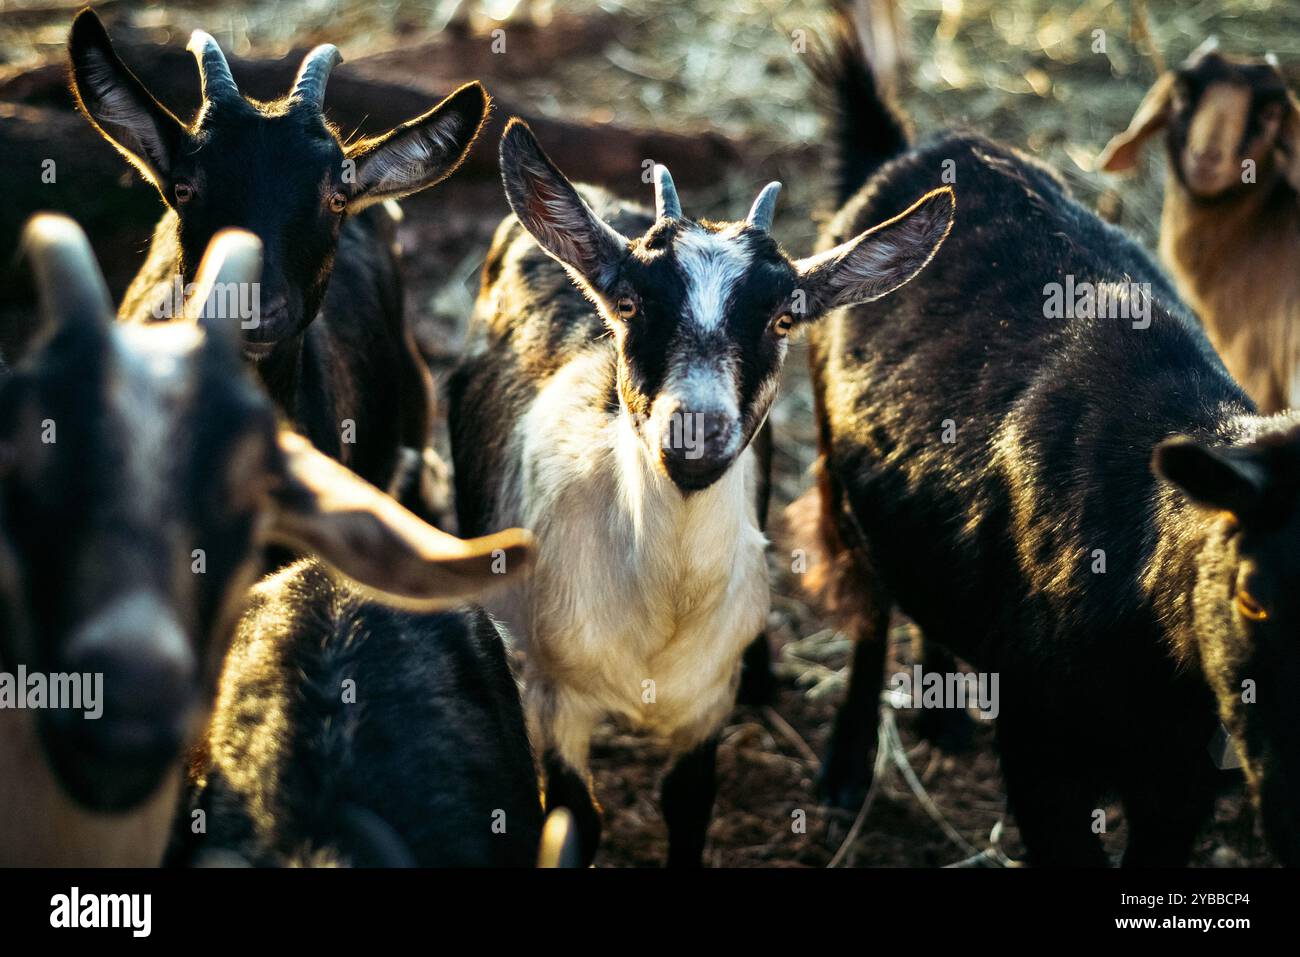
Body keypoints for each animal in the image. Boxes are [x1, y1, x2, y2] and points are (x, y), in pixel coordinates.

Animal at [448, 118, 952, 866]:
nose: (696, 427)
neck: (663, 613)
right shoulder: (554, 691)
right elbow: (576, 814)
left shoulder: (707, 701)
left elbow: (688, 805)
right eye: (629, 304)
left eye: (782, 319)